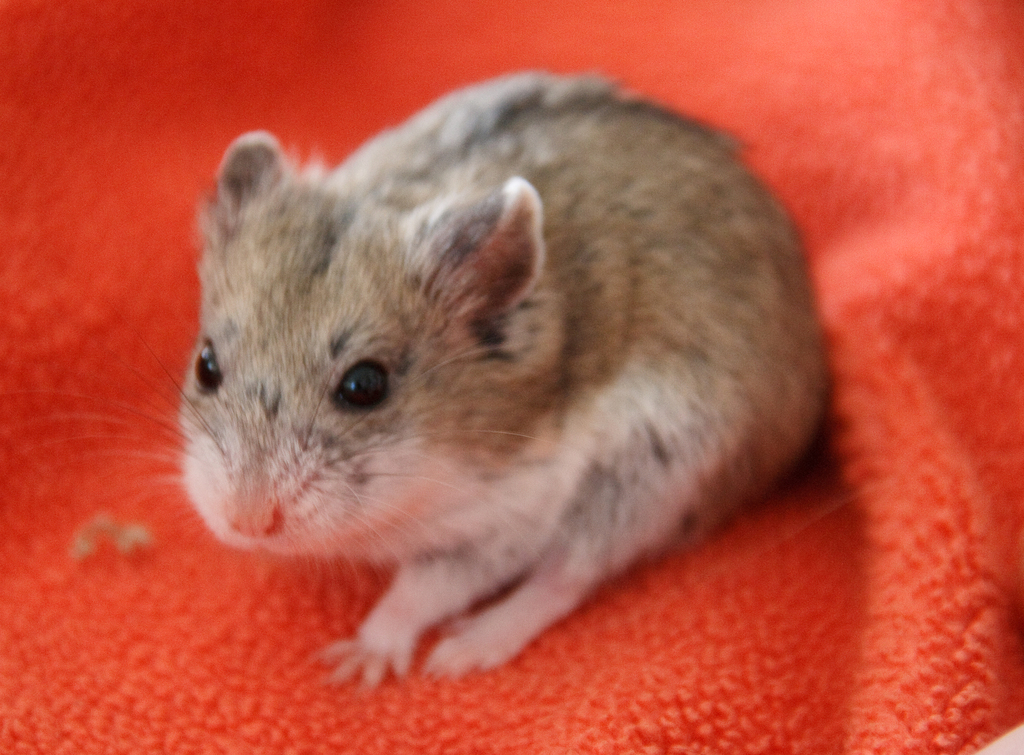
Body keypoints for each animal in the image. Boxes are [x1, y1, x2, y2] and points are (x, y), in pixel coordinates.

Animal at [180, 72, 827, 685]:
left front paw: (354, 664)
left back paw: (468, 647)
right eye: (206, 365)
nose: (245, 522)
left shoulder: (505, 517)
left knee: (567, 578)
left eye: (365, 385)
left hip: (651, 477)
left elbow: (422, 590)